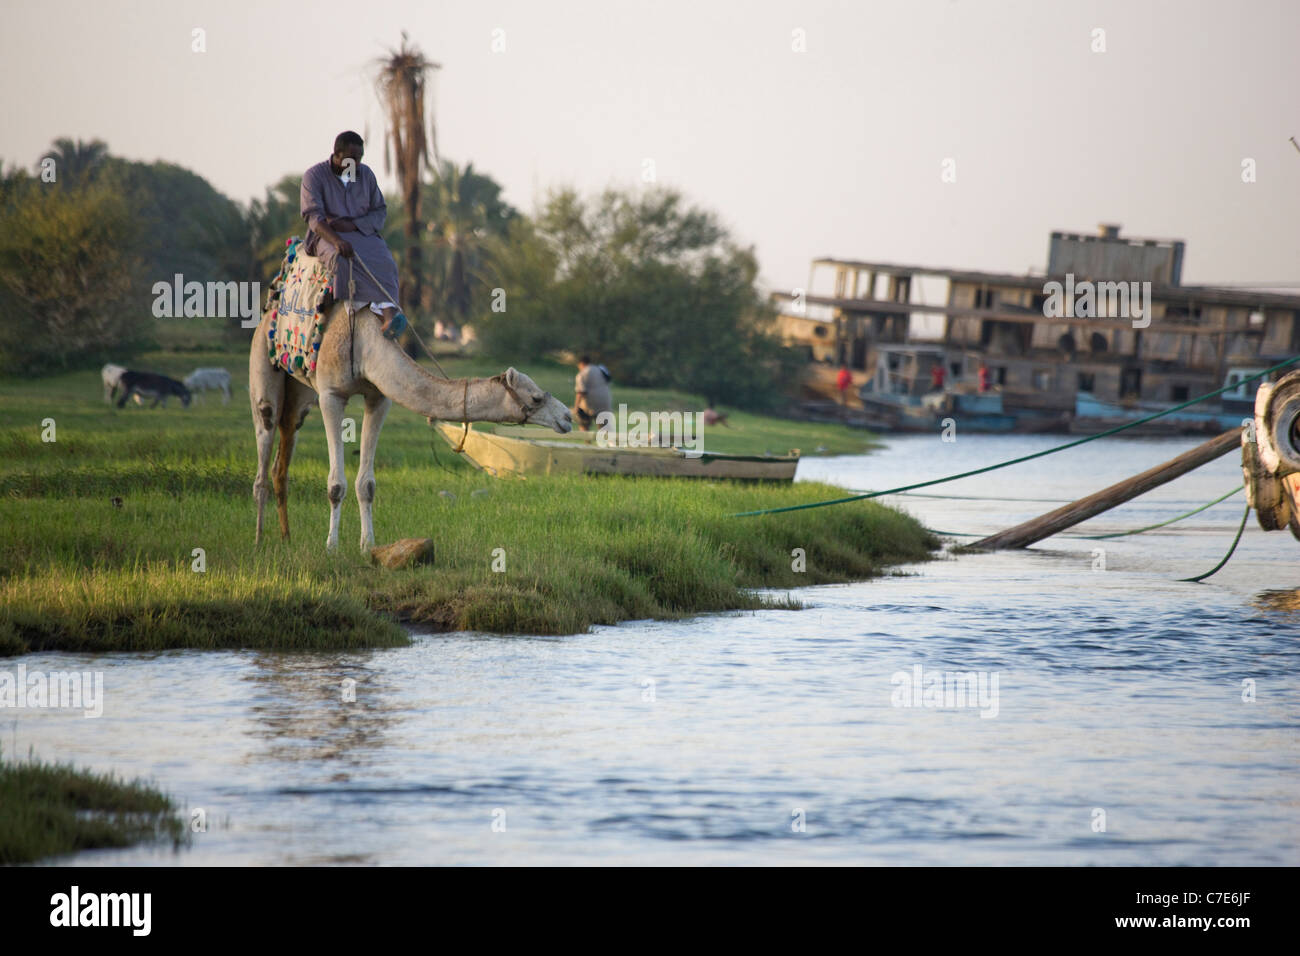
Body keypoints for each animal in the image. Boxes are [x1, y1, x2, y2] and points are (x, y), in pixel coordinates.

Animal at [249, 302, 572, 552]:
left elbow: (367, 484)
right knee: (265, 441)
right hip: (264, 366)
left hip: (299, 392)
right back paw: (259, 539)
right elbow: (336, 484)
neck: (366, 347)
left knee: (283, 455)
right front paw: (331, 547)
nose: (567, 417)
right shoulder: (331, 395)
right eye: (536, 397)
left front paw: (368, 546)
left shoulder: (380, 397)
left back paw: (286, 538)